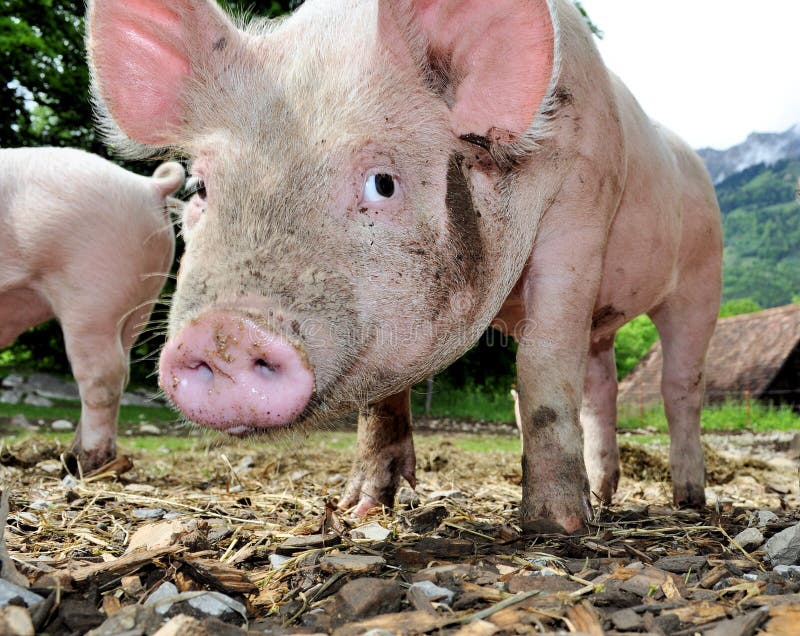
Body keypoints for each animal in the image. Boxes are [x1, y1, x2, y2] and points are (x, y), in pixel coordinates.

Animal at [0, 147, 181, 471]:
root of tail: (149, 186)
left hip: (94, 295)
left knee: (102, 377)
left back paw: (87, 462)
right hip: (139, 305)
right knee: (123, 371)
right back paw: (72, 457)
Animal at [86, 0, 722, 532]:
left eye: (383, 183)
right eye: (198, 188)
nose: (225, 332)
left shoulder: (582, 203)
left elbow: (541, 365)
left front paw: (556, 527)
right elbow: (381, 403)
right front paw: (361, 509)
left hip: (700, 276)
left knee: (680, 385)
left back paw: (686, 501)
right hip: (612, 320)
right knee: (601, 381)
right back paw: (609, 495)